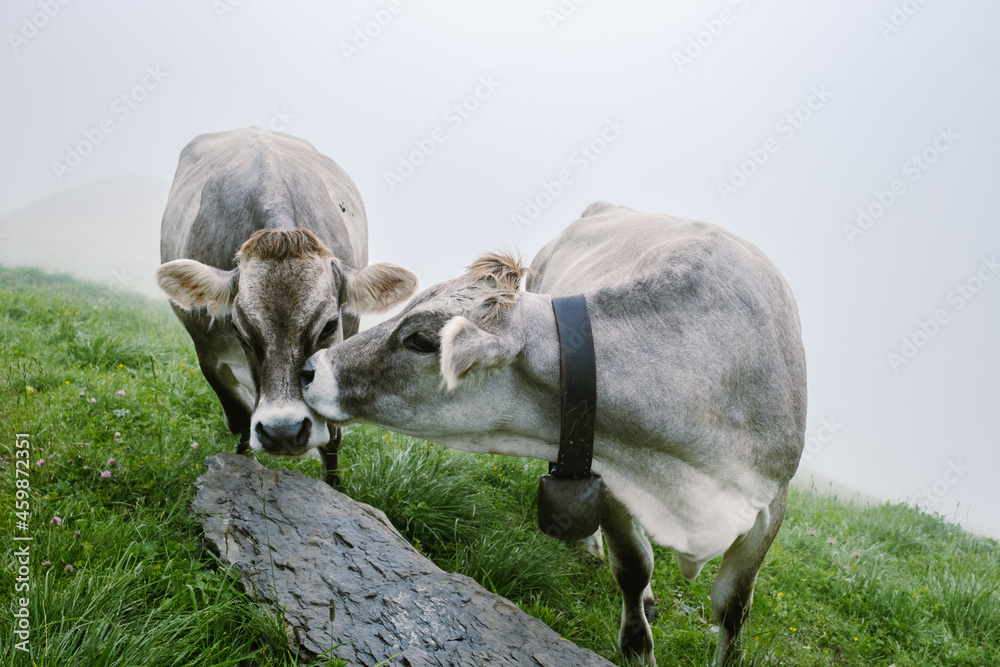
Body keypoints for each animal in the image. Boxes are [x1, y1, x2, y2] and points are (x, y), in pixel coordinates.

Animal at [156, 127, 417, 485]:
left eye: (330, 325)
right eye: (238, 329)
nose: (283, 432)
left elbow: (332, 438)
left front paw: (333, 486)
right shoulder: (208, 355)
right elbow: (240, 421)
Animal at [299, 202, 806, 665]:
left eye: (421, 341)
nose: (309, 368)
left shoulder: (772, 501)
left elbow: (733, 607)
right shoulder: (607, 469)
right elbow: (634, 567)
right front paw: (636, 642)